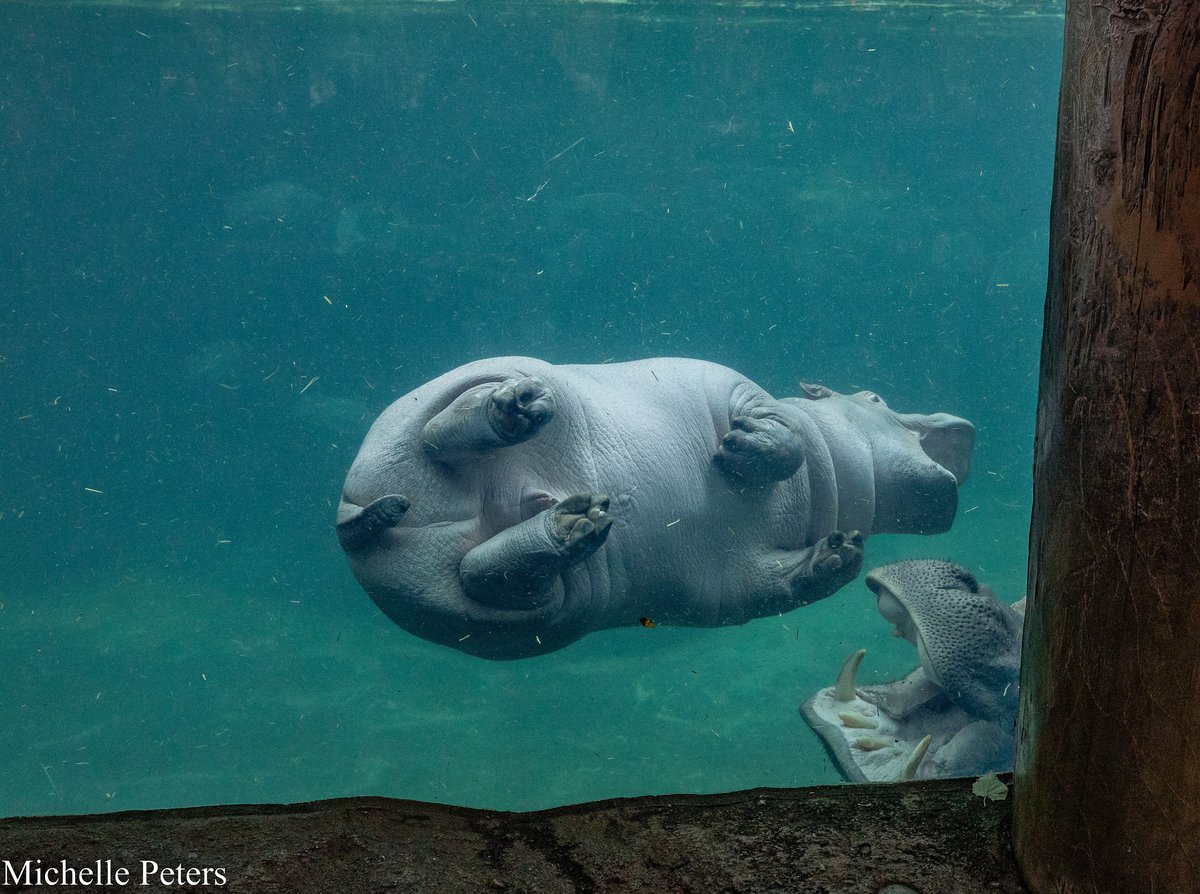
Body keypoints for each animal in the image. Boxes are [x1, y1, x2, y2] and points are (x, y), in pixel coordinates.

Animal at [337, 357, 975, 659]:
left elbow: (782, 583)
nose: (963, 433)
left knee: (489, 569)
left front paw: (837, 554)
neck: (828, 477)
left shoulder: (732, 585)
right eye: (875, 398)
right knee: (443, 432)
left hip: (541, 616)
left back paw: (571, 524)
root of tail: (354, 520)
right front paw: (741, 448)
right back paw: (514, 409)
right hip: (460, 390)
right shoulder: (741, 391)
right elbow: (786, 428)